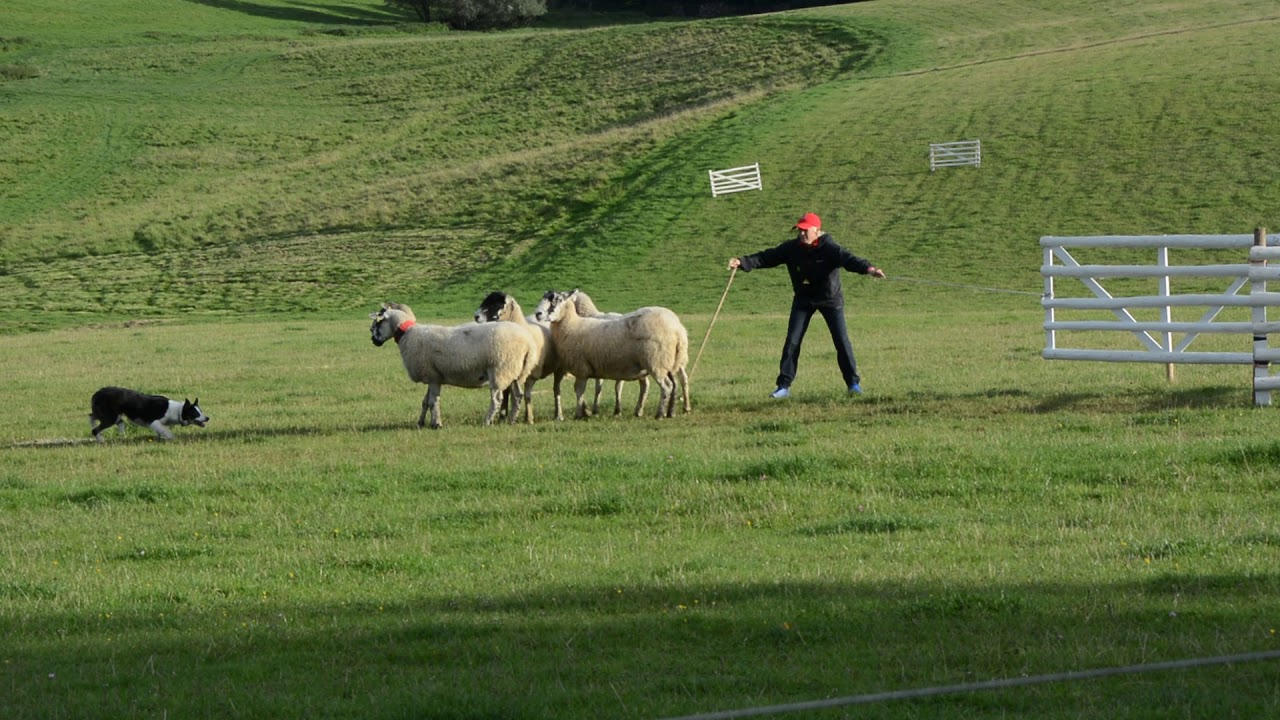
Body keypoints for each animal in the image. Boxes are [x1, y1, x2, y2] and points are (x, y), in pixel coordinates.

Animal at [369, 302, 536, 429]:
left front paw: (436, 424)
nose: (373, 341)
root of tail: (528, 342)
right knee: (517, 395)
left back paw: (487, 421)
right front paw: (421, 422)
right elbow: (426, 402)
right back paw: (511, 420)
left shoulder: (432, 377)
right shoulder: (433, 376)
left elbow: (433, 401)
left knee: (496, 399)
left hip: (499, 369)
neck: (407, 334)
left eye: (378, 322)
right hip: (515, 371)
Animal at [473, 291, 565, 422]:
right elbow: (507, 393)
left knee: (556, 389)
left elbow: (526, 395)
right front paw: (503, 416)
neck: (522, 326)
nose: (476, 316)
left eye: (495, 303)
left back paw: (558, 415)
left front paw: (528, 418)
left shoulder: (531, 374)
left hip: (559, 369)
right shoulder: (508, 370)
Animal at [542, 290, 691, 419]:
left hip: (656, 361)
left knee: (667, 386)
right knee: (675, 383)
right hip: (668, 362)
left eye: (557, 300)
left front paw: (583, 413)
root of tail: (678, 330)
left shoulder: (583, 367)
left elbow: (583, 390)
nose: (538, 314)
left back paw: (660, 414)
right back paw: (671, 411)